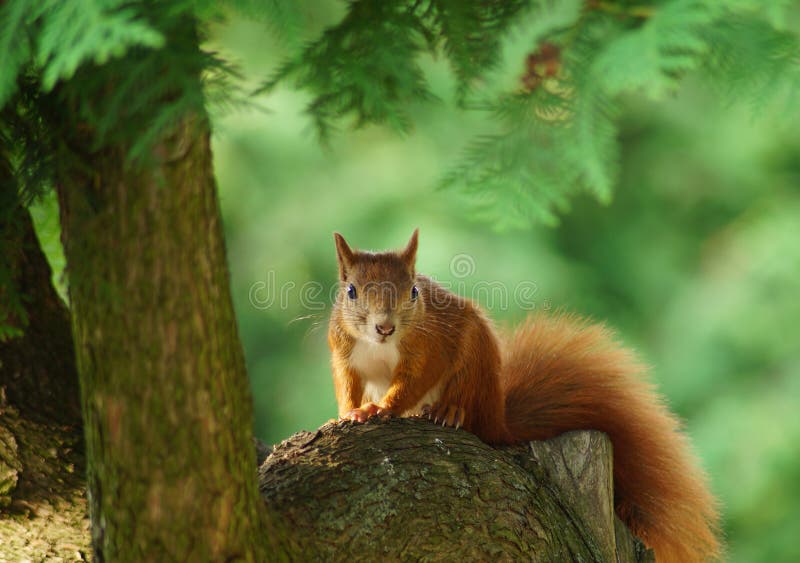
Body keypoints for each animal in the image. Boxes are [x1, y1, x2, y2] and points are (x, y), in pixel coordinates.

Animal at [328, 229, 721, 562]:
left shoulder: (427, 349)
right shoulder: (344, 354)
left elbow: (411, 382)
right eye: (351, 291)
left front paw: (380, 408)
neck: (380, 346)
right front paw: (348, 412)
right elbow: (347, 385)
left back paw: (450, 412)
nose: (385, 327)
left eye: (413, 291)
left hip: (475, 360)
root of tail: (497, 417)